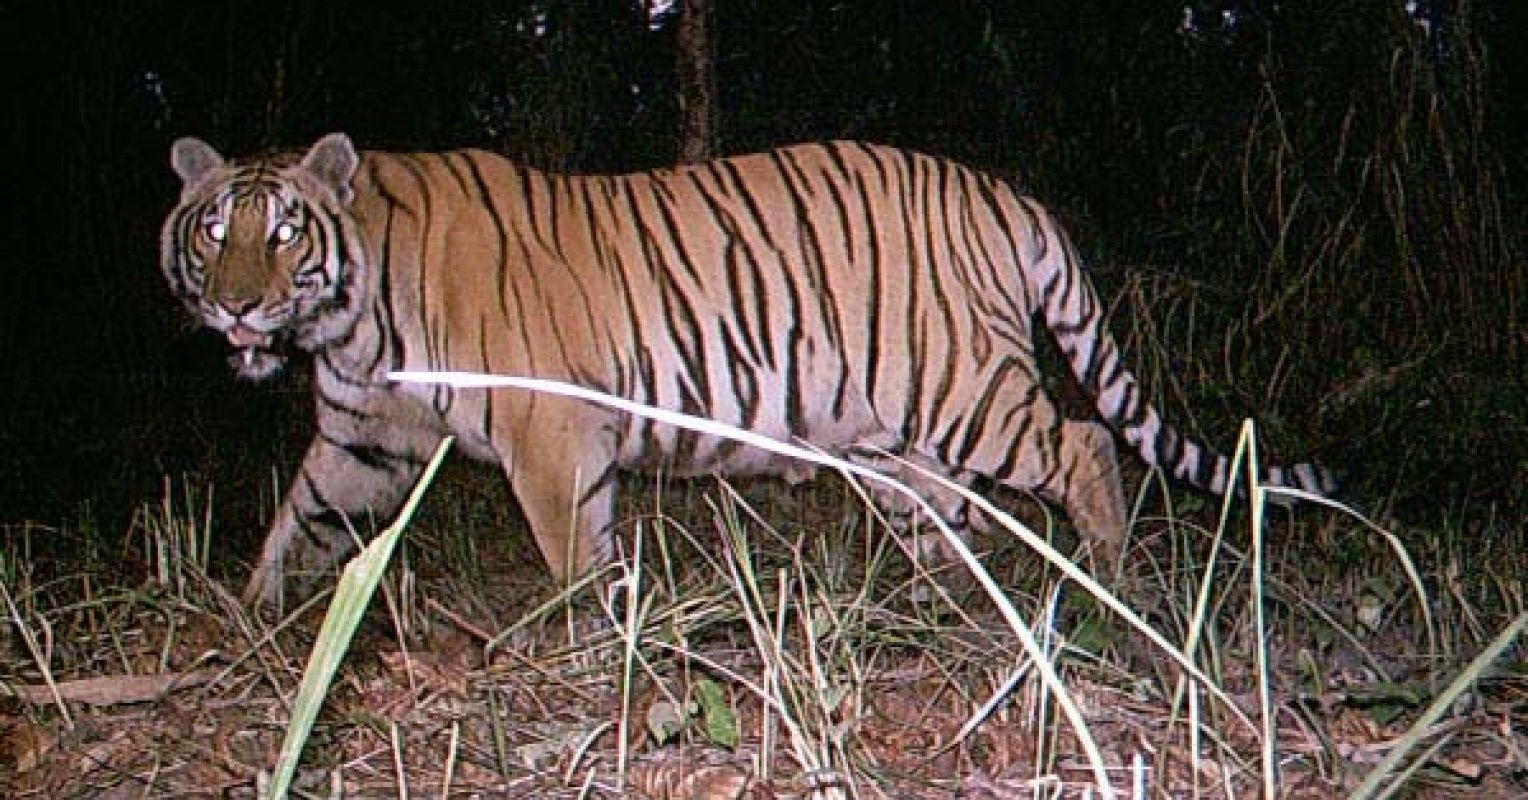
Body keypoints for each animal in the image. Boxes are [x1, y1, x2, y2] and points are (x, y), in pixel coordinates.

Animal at [160, 133, 1336, 609]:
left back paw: (1110, 586)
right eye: (214, 229)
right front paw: (250, 621)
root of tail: (1006, 193)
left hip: (970, 391)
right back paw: (952, 604)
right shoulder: (360, 439)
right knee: (950, 513)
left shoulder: (550, 432)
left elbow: (572, 550)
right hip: (898, 439)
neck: (351, 320)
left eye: (282, 234)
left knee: (1085, 443)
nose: (236, 303)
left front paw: (580, 639)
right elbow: (299, 520)